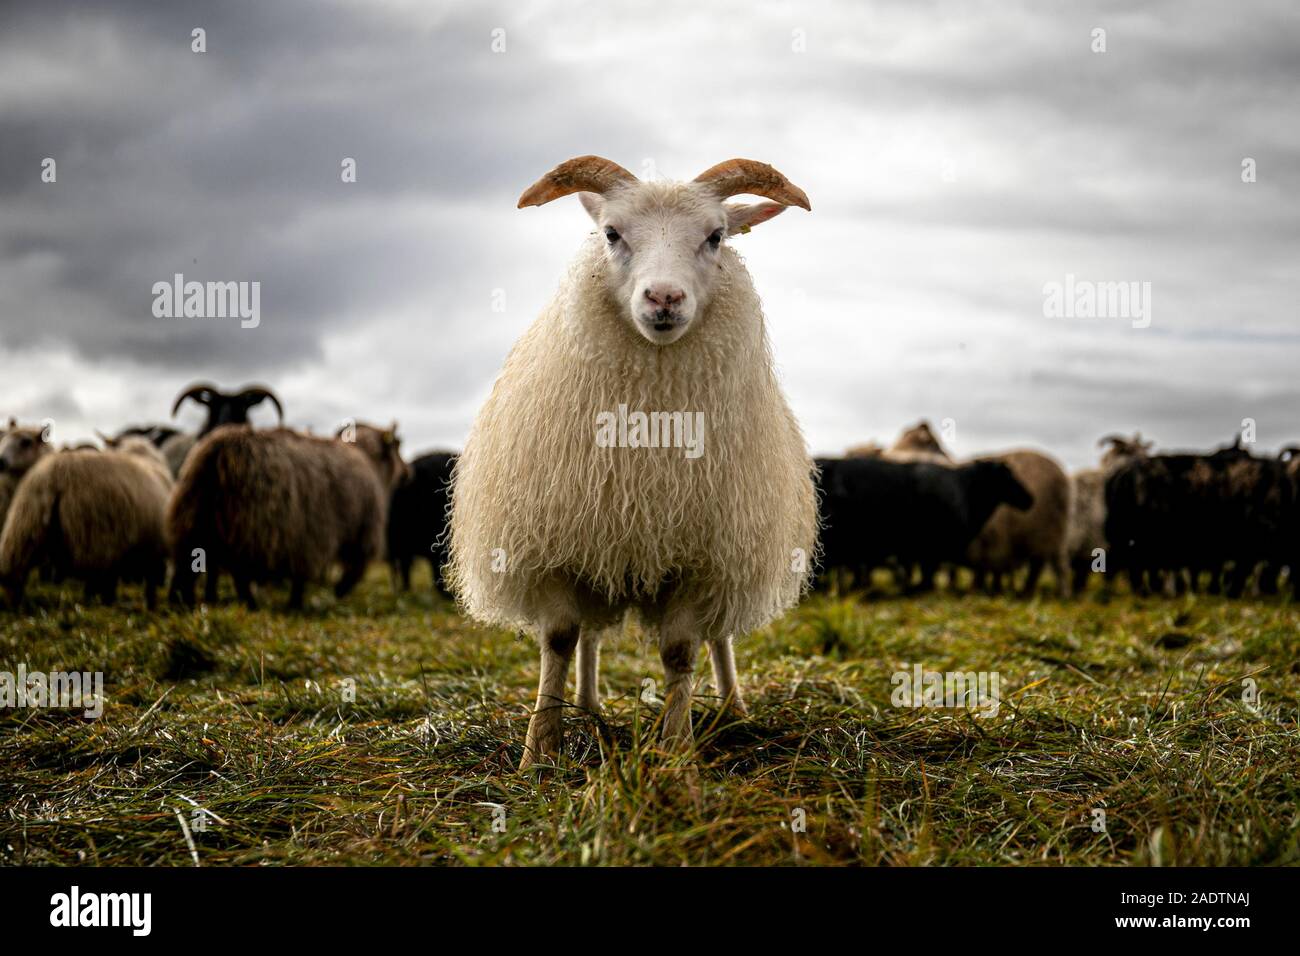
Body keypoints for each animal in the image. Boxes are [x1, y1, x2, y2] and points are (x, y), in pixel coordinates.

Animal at [0, 436, 172, 608]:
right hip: (97, 536)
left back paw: (14, 604)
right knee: (98, 582)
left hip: (26, 521)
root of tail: (59, 476)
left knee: (13, 568)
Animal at [167, 423, 409, 610]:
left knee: (185, 569)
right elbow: (353, 571)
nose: (407, 473)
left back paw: (180, 604)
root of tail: (219, 448)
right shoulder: (358, 529)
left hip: (192, 520)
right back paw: (250, 604)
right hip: (251, 526)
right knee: (240, 573)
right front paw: (324, 596)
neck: (368, 459)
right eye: (397, 446)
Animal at [446, 155, 818, 769]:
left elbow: (681, 651)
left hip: (730, 543)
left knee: (720, 636)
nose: (664, 298)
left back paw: (733, 707)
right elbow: (559, 640)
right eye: (611, 234)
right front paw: (539, 750)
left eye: (716, 236)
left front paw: (678, 750)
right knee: (590, 638)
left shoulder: (699, 555)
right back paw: (589, 707)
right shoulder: (559, 546)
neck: (648, 430)